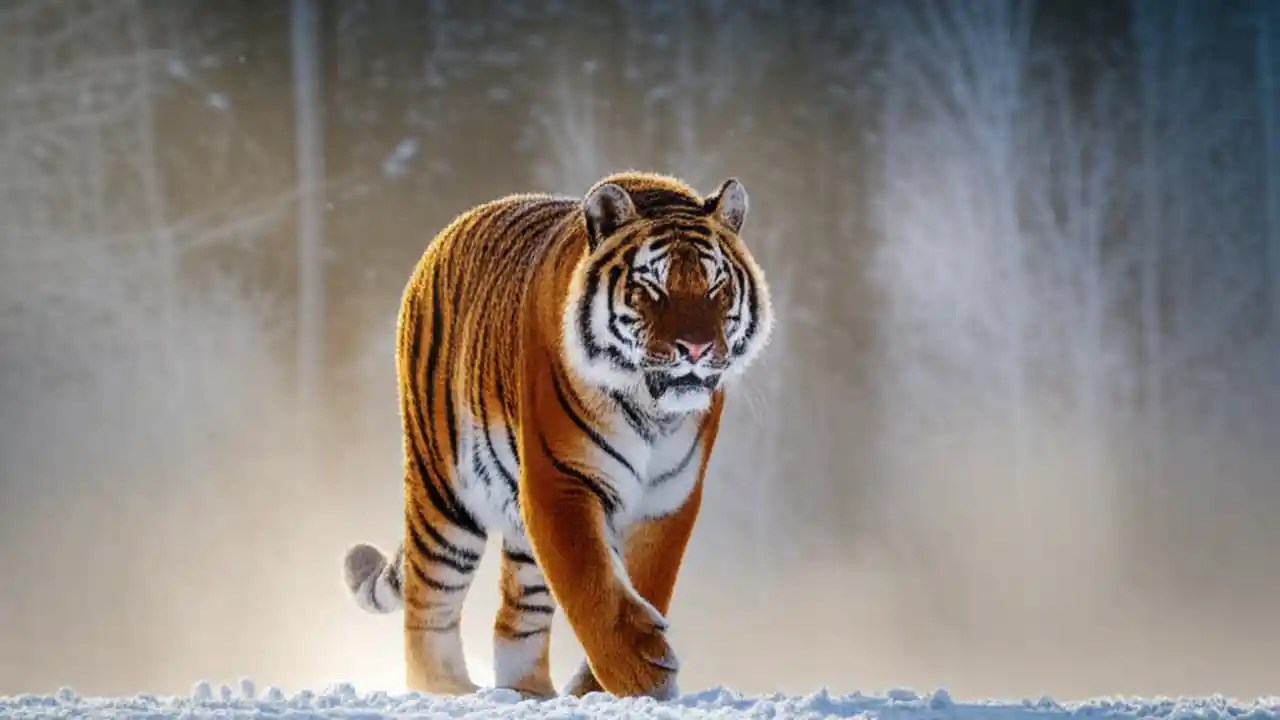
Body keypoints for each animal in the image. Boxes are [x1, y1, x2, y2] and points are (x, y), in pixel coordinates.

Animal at [342, 171, 773, 700]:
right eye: (650, 286)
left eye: (717, 286)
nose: (695, 349)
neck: (652, 410)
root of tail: (443, 237)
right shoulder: (560, 481)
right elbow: (591, 583)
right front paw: (644, 672)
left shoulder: (669, 497)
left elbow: (647, 580)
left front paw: (598, 688)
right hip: (443, 497)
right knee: (429, 605)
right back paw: (446, 690)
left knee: (515, 616)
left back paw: (528, 693)